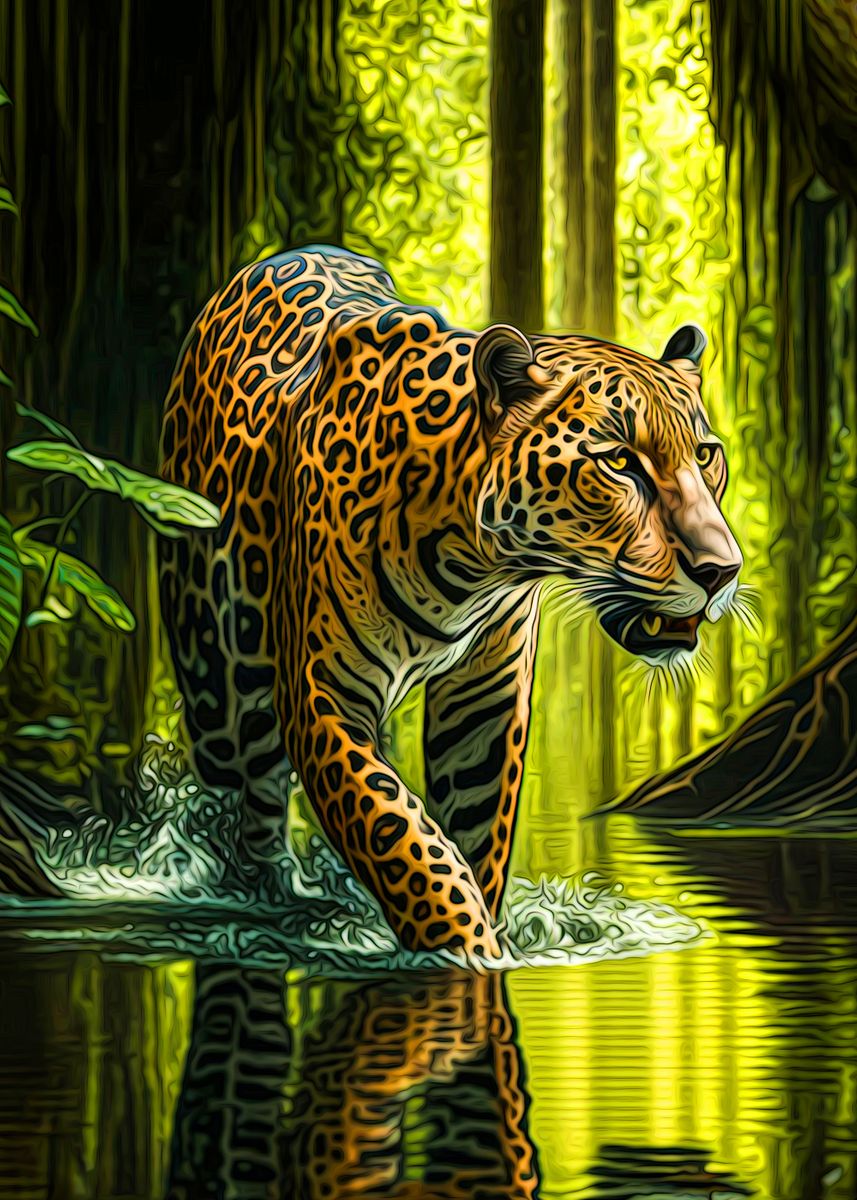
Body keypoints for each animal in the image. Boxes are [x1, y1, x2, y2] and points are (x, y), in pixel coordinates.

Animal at [159, 245, 742, 961]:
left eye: (706, 455)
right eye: (619, 463)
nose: (723, 570)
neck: (474, 564)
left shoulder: (483, 703)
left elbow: (474, 831)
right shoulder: (325, 699)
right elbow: (401, 836)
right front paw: (466, 948)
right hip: (214, 653)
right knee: (240, 779)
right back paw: (249, 890)